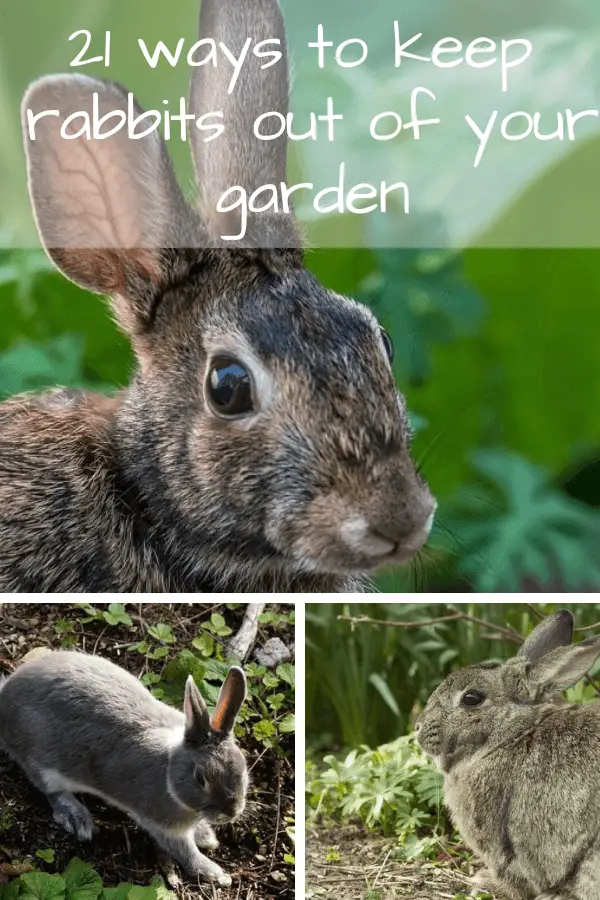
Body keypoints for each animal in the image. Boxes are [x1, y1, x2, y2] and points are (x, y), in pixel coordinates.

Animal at [0, 650, 248, 886]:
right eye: (201, 778)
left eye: (243, 768)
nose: (232, 812)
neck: (169, 770)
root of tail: (6, 699)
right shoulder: (162, 825)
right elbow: (184, 851)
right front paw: (213, 872)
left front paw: (206, 836)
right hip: (45, 765)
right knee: (51, 791)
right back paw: (77, 818)